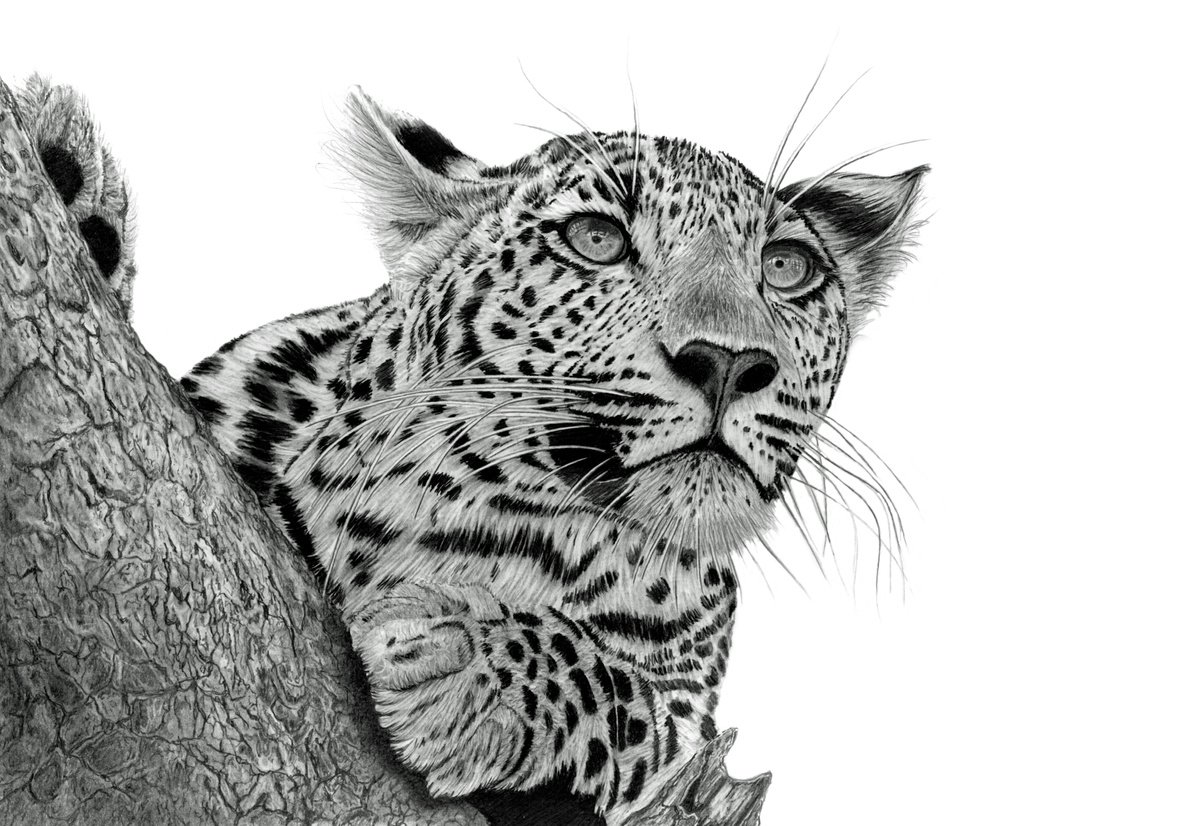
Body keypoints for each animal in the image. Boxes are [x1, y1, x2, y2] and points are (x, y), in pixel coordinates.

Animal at [18, 77, 927, 824]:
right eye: (596, 240)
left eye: (787, 267)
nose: (731, 362)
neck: (490, 516)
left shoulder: (685, 703)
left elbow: (625, 696)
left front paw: (464, 676)